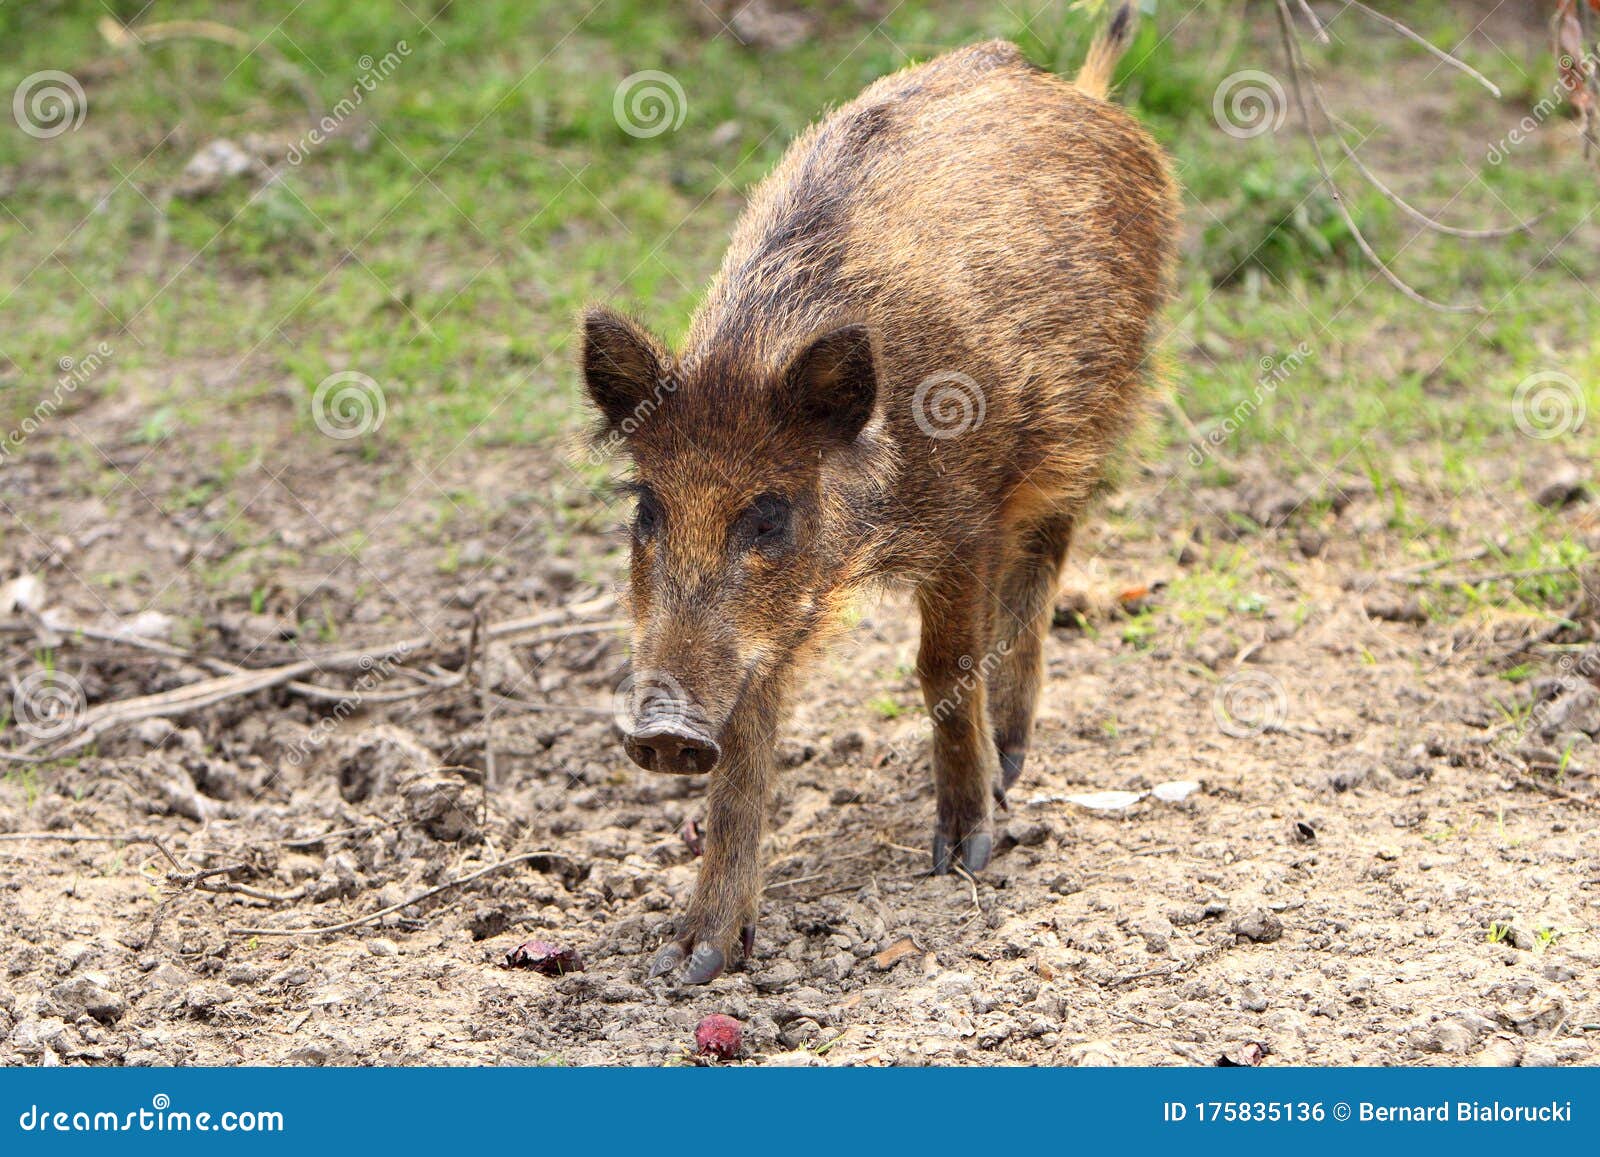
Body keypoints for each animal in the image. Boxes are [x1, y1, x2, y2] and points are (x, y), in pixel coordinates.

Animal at [580, 4, 1178, 983]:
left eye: (770, 513)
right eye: (645, 509)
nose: (664, 730)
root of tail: (1082, 92)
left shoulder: (968, 518)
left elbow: (944, 663)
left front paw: (966, 850)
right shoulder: (773, 625)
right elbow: (748, 737)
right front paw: (694, 958)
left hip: (1095, 413)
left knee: (1047, 556)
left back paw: (1013, 763)